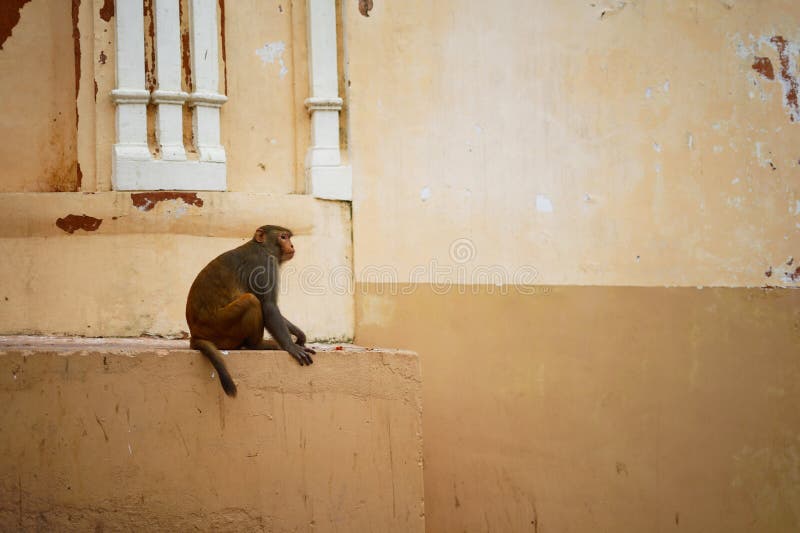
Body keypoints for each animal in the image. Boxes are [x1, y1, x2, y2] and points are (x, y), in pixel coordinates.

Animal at [186, 225, 315, 397]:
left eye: (288, 237)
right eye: (283, 237)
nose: (292, 245)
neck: (263, 247)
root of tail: (195, 334)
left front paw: (300, 335)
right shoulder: (264, 264)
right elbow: (268, 306)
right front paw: (291, 347)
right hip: (219, 329)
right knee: (251, 300)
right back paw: (257, 345)